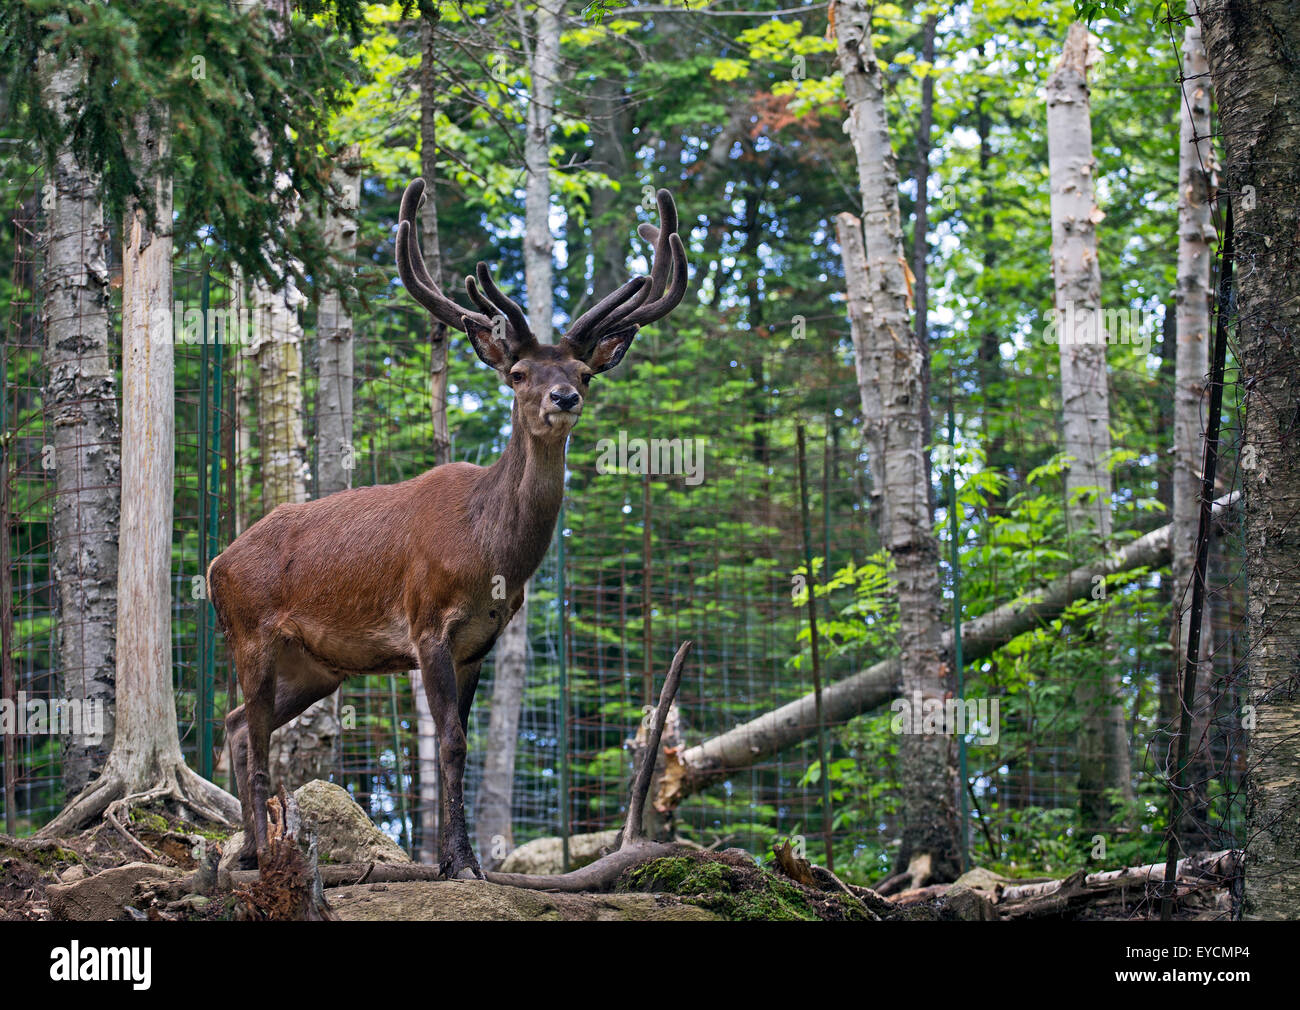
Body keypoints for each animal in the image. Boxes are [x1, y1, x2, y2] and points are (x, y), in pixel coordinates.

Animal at [209, 178, 688, 880]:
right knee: (254, 729)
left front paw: (462, 859)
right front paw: (458, 863)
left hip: (316, 667)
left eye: (582, 373)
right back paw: (261, 852)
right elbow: (453, 743)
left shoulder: (479, 642)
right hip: (251, 634)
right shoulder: (426, 620)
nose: (564, 398)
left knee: (240, 724)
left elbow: (461, 742)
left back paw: (247, 849)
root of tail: (215, 566)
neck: (489, 554)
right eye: (519, 373)